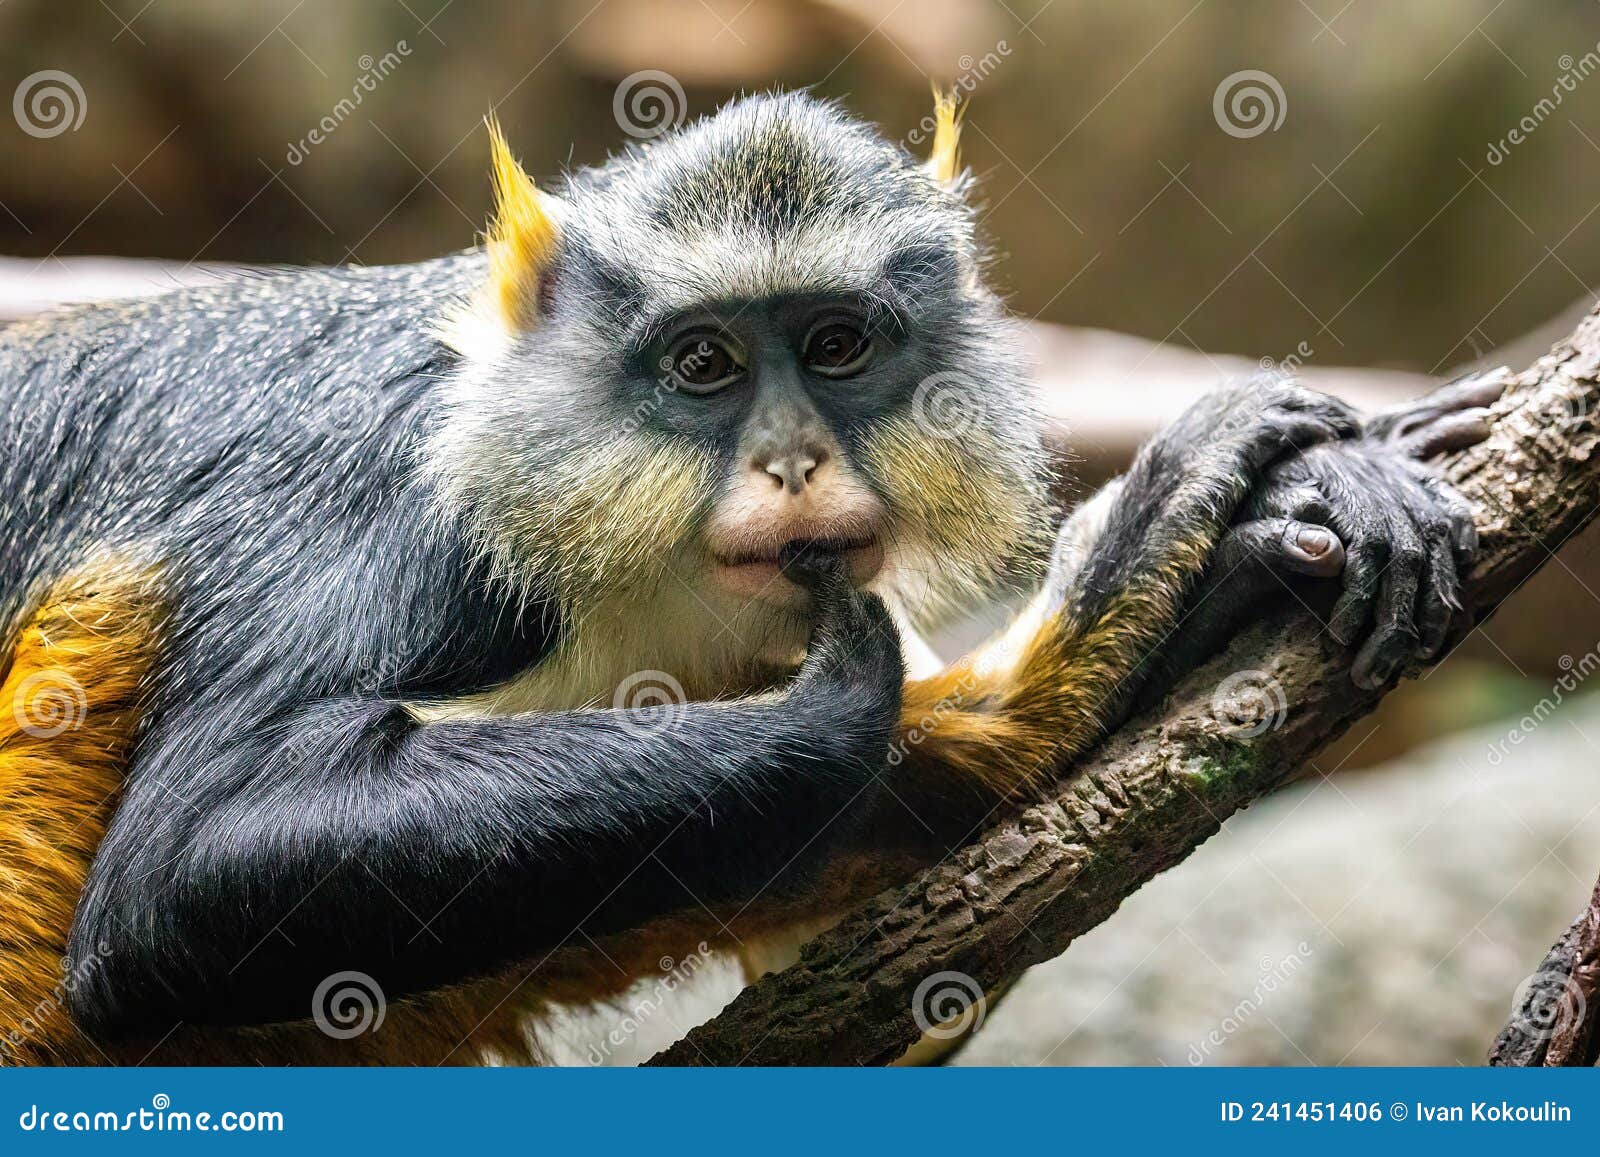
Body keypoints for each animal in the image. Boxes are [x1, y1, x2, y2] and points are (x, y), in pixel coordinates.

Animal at [0, 92, 1496, 1065]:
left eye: (835, 345)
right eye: (705, 364)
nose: (788, 459)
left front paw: (1211, 565)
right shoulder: (398, 523)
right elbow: (188, 865)